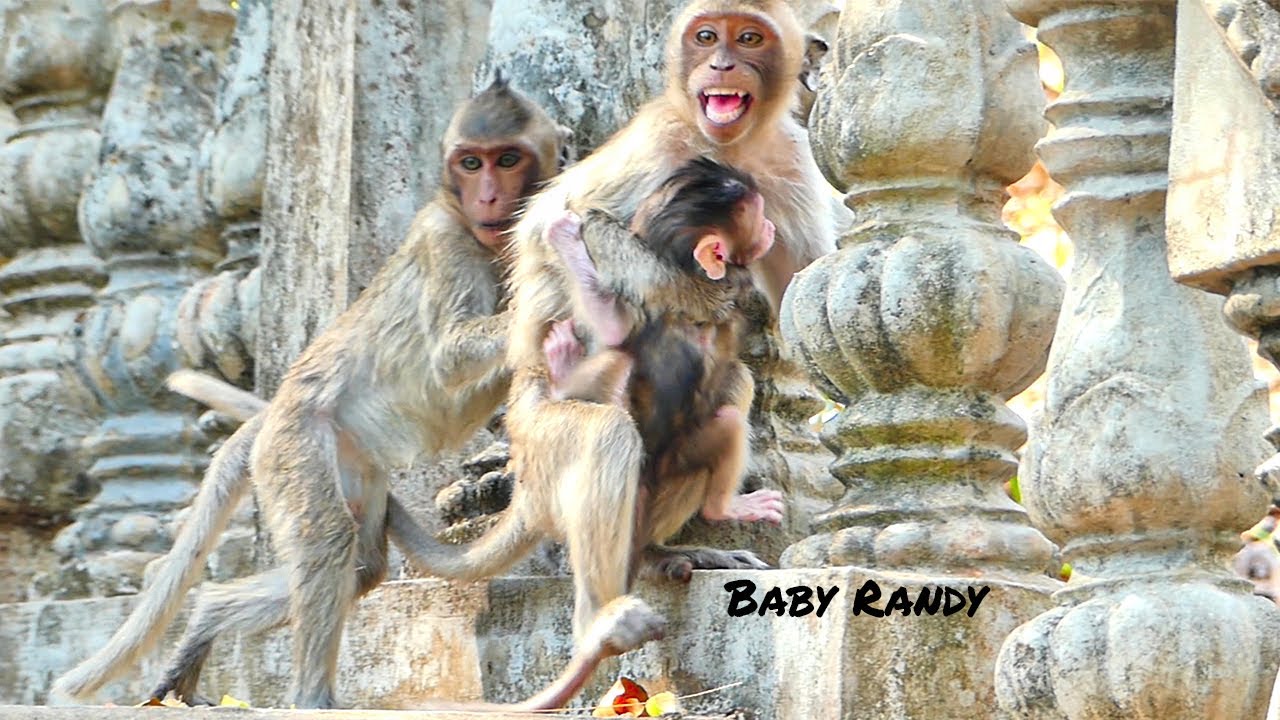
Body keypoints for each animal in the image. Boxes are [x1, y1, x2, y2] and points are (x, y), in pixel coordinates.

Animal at [48, 74, 666, 711]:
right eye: (471, 163)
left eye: (508, 159)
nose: (490, 197)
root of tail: (276, 411)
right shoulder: (445, 238)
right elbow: (451, 353)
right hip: (298, 446)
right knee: (327, 541)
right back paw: (310, 697)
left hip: (354, 468)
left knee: (363, 563)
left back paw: (207, 619)